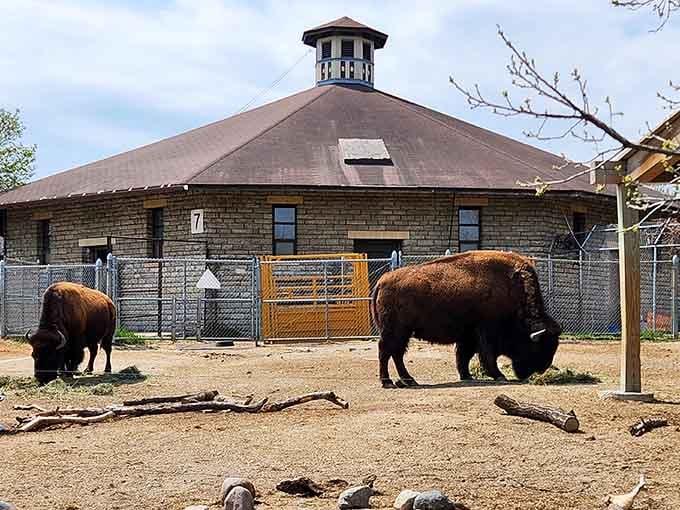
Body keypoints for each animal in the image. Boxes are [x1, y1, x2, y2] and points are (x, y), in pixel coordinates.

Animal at [370, 250, 561, 388]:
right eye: (539, 347)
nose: (541, 369)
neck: (512, 289)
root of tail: (382, 281)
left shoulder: (468, 335)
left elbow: (464, 355)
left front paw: (466, 375)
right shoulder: (486, 332)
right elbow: (487, 356)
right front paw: (499, 376)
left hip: (403, 333)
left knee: (396, 354)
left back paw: (408, 381)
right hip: (396, 331)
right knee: (386, 352)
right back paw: (388, 382)